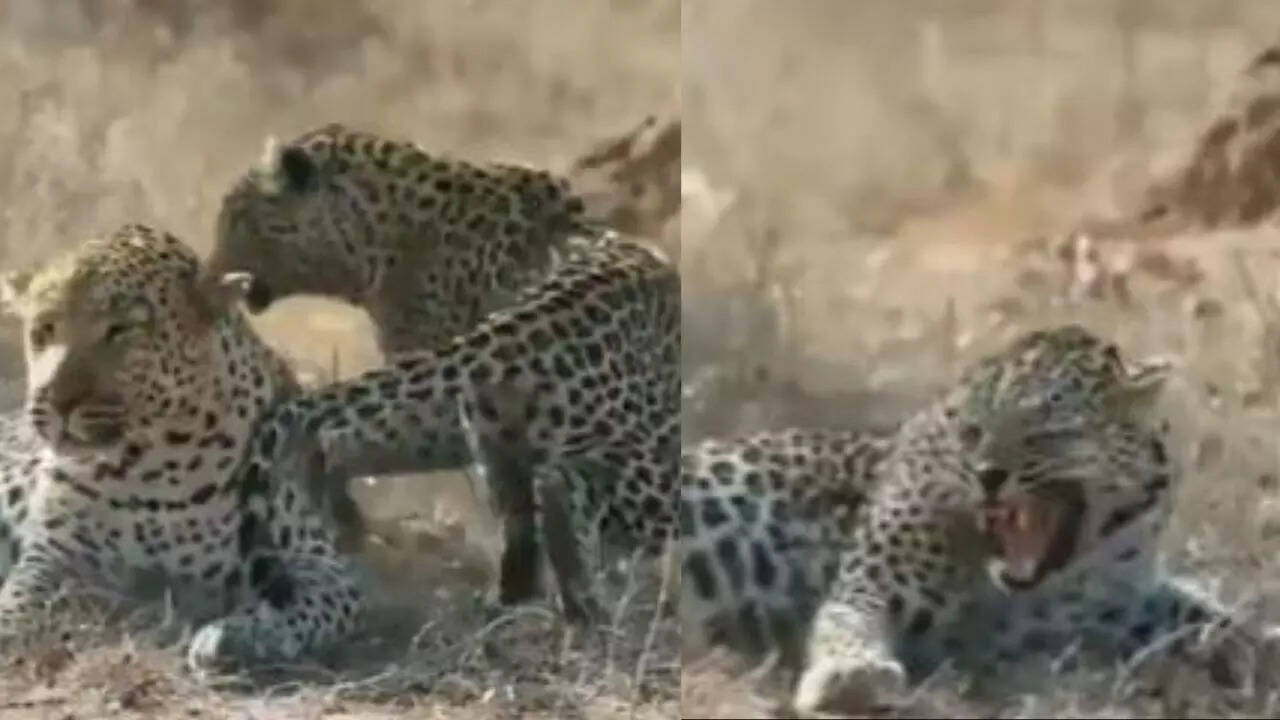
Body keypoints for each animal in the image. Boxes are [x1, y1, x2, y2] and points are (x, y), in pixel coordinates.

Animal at [0, 224, 362, 673]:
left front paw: (236, 636)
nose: (56, 401)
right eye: (44, 330)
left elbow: (302, 609)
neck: (146, 462)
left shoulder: (321, 565)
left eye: (121, 330)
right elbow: (22, 595)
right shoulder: (59, 551)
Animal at [681, 325, 1280, 714]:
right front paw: (854, 677)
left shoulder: (1124, 599)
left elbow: (1220, 620)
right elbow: (847, 624)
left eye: (1045, 432)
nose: (986, 475)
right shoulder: (872, 583)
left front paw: (1255, 651)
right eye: (970, 429)